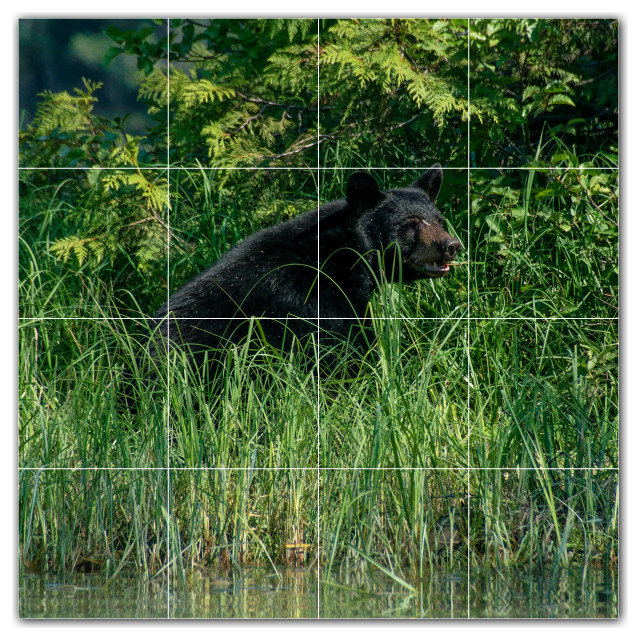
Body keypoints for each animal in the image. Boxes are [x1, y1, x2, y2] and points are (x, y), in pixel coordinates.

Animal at [153, 164, 461, 372]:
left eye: (439, 219)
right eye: (410, 224)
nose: (451, 245)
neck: (343, 255)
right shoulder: (316, 299)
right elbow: (345, 351)